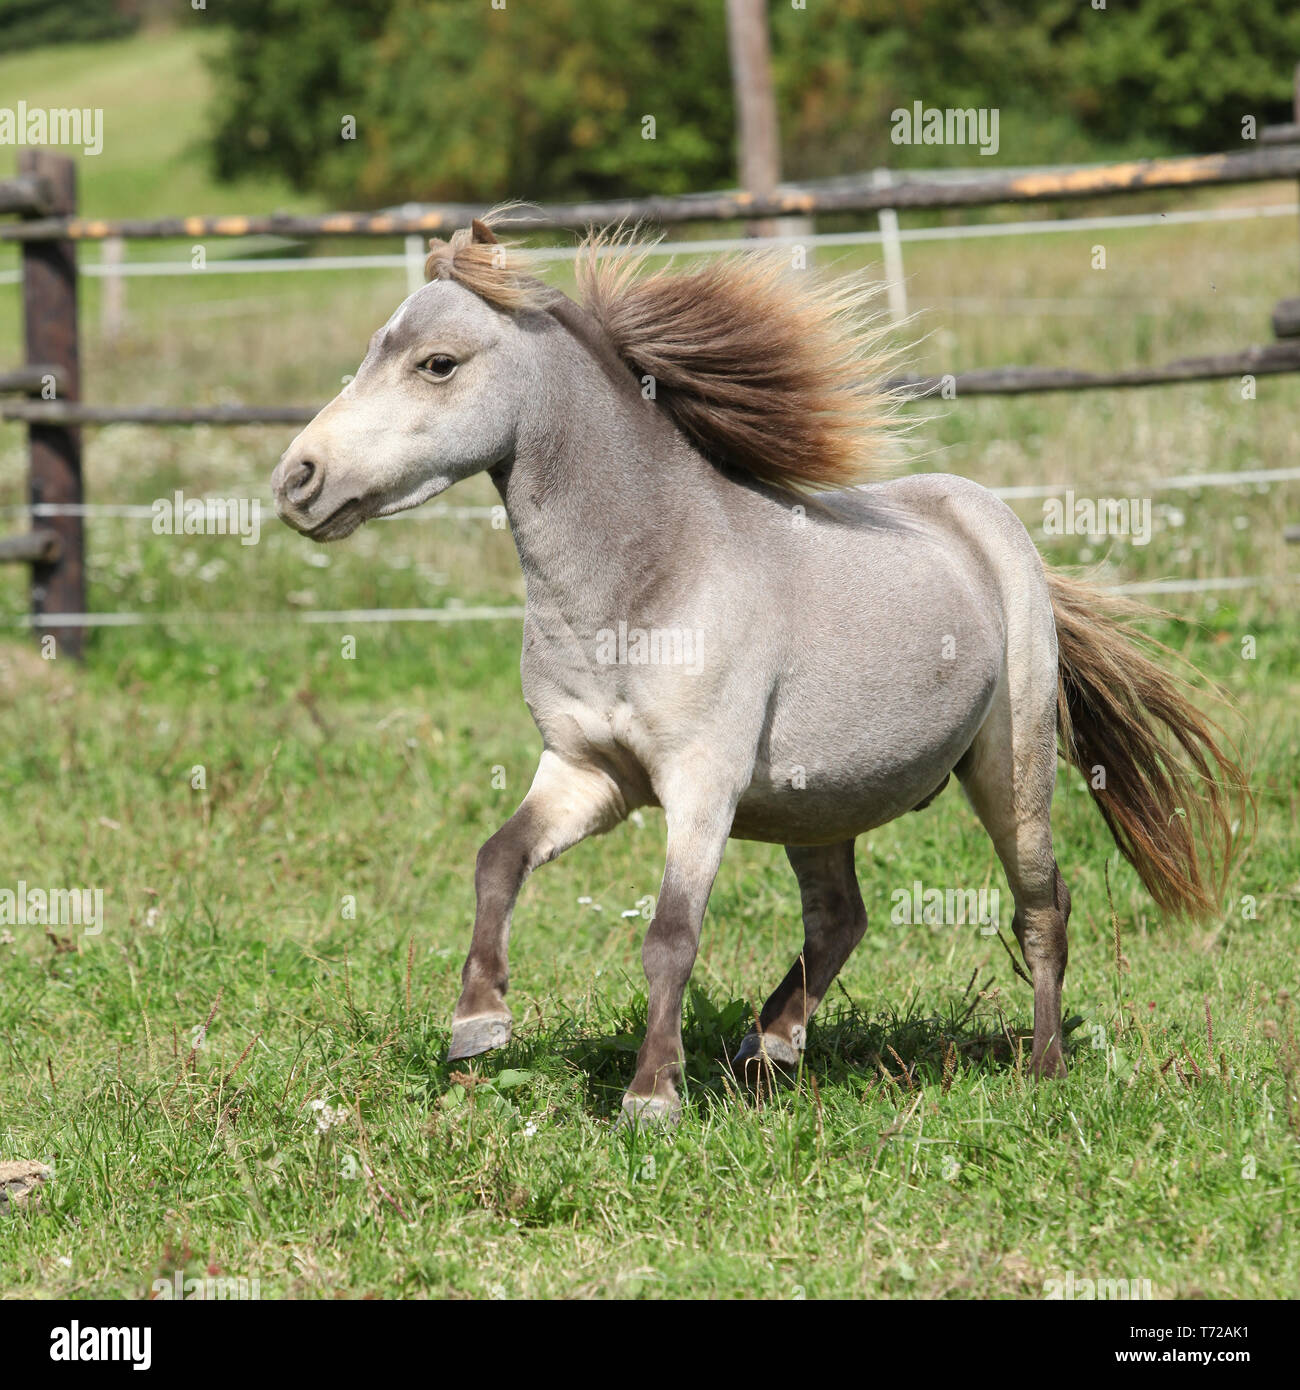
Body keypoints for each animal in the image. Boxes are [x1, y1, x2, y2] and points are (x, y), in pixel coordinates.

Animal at [271, 215, 1246, 1127]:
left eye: (436, 363)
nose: (296, 481)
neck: (647, 581)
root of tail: (989, 521)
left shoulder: (701, 783)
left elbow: (671, 935)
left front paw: (651, 1097)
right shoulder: (588, 772)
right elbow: (498, 860)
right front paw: (478, 1025)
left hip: (1014, 769)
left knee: (1041, 906)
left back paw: (1041, 1069)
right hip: (821, 805)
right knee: (840, 917)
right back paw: (771, 1046)